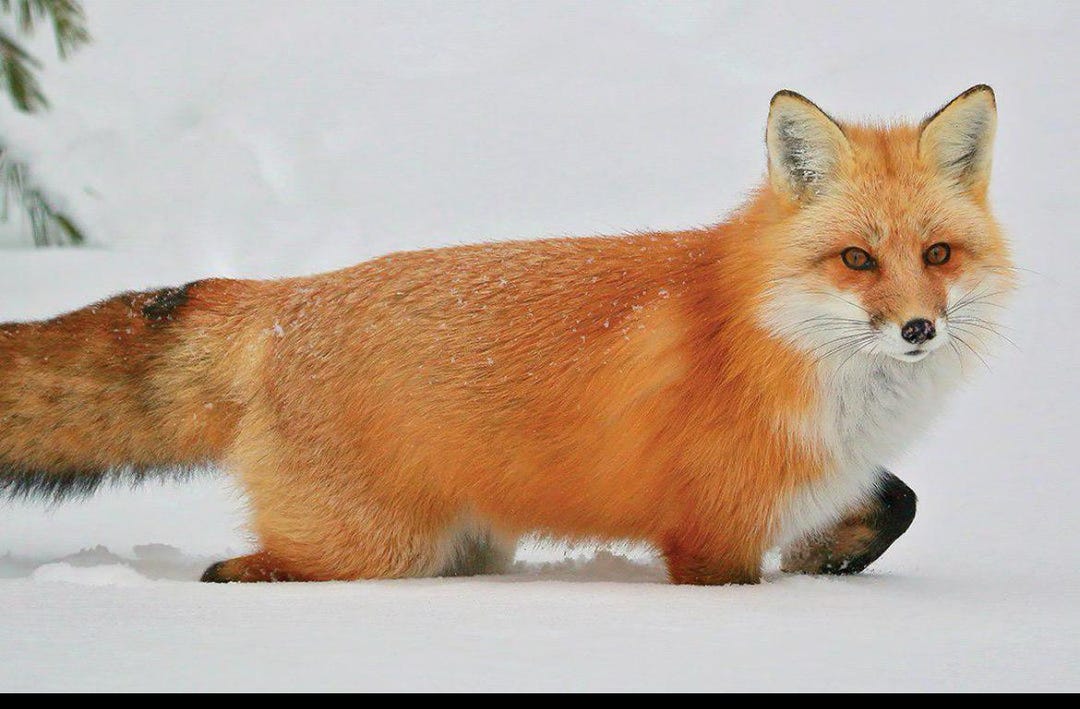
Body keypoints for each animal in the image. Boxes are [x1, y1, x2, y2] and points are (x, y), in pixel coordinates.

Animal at [0, 85, 1013, 585]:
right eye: (856, 259)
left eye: (937, 252)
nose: (919, 327)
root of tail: (286, 297)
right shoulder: (709, 538)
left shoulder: (822, 474)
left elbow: (896, 500)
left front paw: (828, 562)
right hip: (373, 548)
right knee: (237, 569)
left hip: (465, 544)